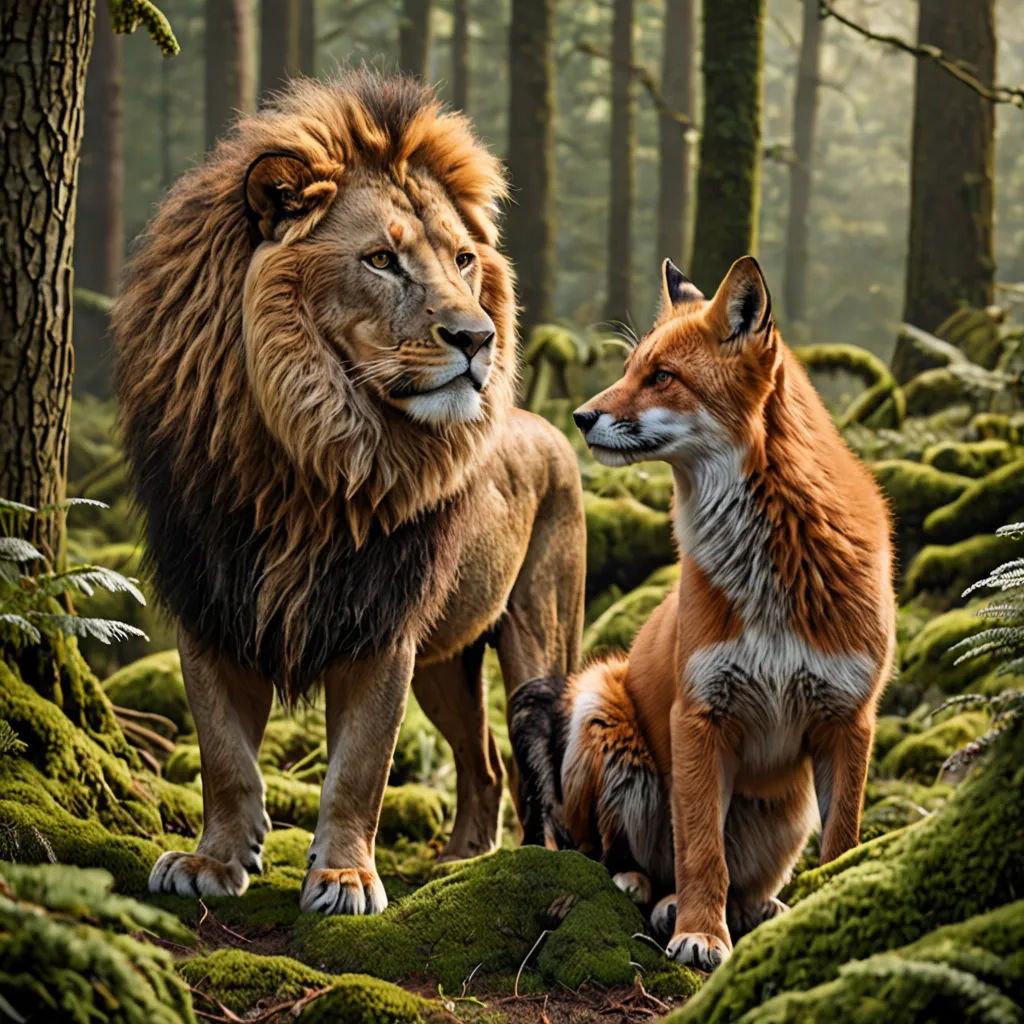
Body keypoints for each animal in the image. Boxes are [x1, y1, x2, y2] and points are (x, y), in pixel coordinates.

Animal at [112, 72, 586, 916]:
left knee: (535, 744)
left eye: (464, 259)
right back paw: (460, 859)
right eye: (381, 259)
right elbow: (223, 754)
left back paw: (537, 860)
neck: (308, 456)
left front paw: (343, 876)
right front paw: (214, 861)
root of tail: (551, 429)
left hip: (538, 632)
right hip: (446, 663)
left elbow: (361, 767)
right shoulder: (211, 603)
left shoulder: (380, 622)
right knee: (484, 760)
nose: (479, 339)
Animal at [510, 256, 895, 972]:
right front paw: (699, 933)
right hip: (601, 711)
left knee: (745, 878)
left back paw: (757, 907)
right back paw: (644, 888)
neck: (775, 575)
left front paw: (829, 901)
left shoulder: (848, 718)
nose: (578, 416)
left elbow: (842, 843)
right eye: (630, 368)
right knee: (604, 850)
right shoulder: (699, 712)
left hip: (787, 810)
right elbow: (700, 851)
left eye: (662, 376)